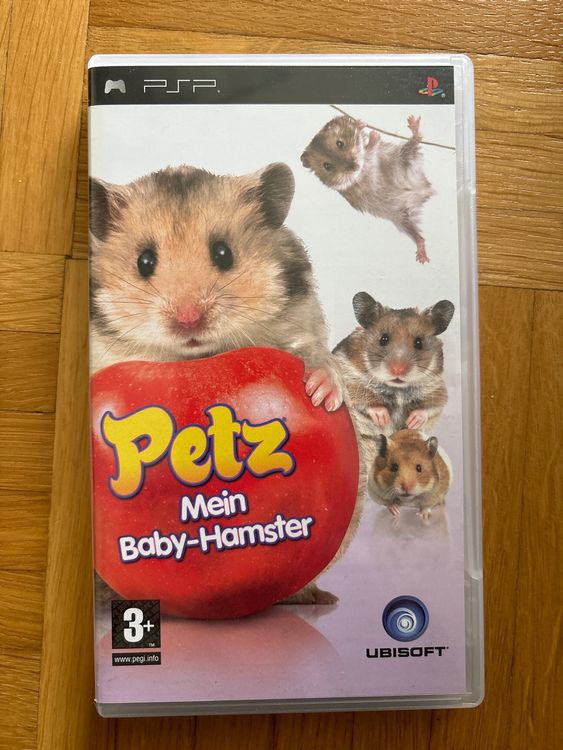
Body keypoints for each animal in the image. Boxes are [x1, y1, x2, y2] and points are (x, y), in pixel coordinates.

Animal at [89, 162, 344, 412]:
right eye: (144, 261)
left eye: (223, 254)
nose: (189, 321)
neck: (198, 356)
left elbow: (318, 354)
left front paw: (320, 394)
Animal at [301, 115, 434, 263]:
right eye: (327, 166)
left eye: (340, 143)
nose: (355, 166)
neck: (361, 168)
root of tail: (422, 189)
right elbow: (369, 150)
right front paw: (373, 134)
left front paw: (360, 124)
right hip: (402, 218)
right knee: (418, 236)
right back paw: (422, 258)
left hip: (402, 159)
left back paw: (412, 121)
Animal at [333, 292, 455, 439]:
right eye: (383, 339)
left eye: (419, 343)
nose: (398, 370)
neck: (398, 389)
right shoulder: (350, 382)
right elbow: (364, 403)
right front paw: (383, 418)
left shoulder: (438, 390)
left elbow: (430, 408)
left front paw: (413, 421)